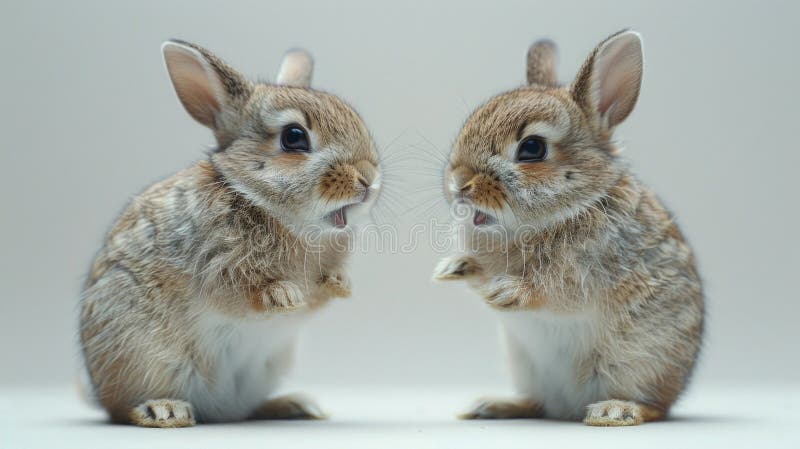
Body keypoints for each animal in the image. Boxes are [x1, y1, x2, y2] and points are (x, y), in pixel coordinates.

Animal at [79, 40, 381, 427]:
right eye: (294, 137)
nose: (368, 177)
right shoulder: (217, 266)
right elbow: (246, 291)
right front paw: (285, 295)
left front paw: (341, 285)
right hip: (137, 355)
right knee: (121, 409)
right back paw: (164, 410)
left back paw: (295, 406)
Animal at [433, 30, 703, 426]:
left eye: (532, 148)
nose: (459, 183)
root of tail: (570, 407)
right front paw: (452, 267)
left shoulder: (587, 270)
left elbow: (552, 291)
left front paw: (506, 291)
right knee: (539, 404)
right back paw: (490, 405)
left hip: (642, 362)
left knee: (656, 407)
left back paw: (615, 410)